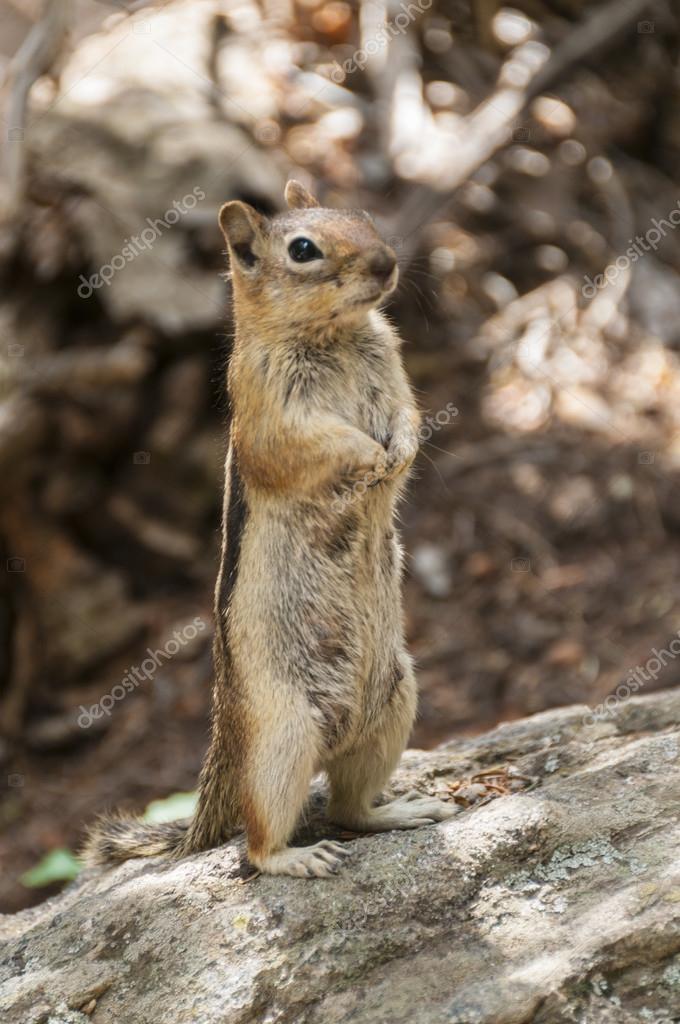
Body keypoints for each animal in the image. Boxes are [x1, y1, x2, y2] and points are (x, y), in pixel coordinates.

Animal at [83, 180, 455, 878]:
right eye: (303, 250)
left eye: (361, 216)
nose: (387, 262)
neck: (335, 335)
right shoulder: (271, 412)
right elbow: (313, 442)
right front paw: (368, 456)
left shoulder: (392, 367)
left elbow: (408, 412)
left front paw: (399, 450)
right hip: (282, 740)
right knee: (257, 842)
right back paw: (296, 859)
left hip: (396, 703)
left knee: (350, 806)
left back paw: (399, 810)